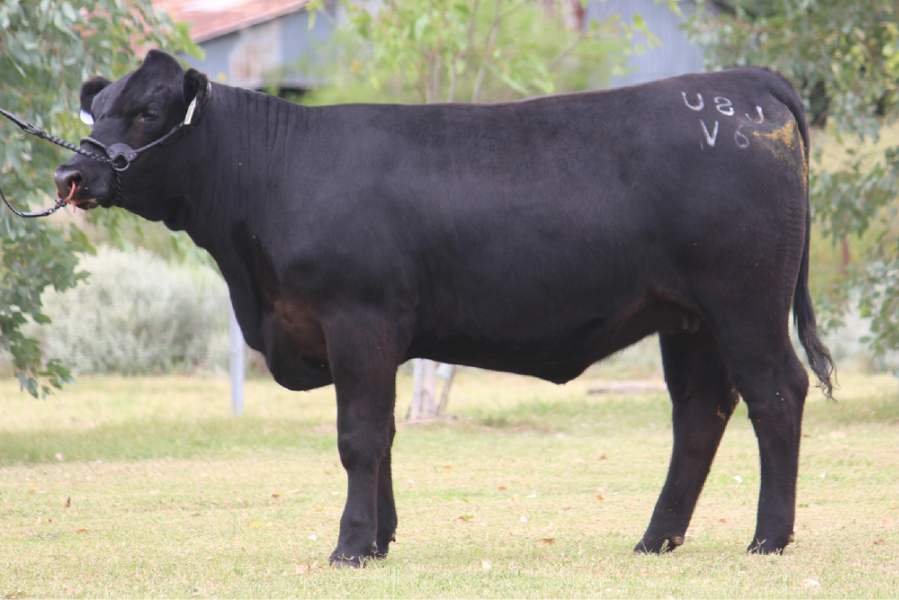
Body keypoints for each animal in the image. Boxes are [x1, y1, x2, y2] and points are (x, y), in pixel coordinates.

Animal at [55, 50, 834, 566]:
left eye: (147, 112)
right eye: (96, 108)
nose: (71, 172)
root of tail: (739, 83)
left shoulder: (357, 318)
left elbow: (359, 437)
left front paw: (349, 547)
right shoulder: (364, 336)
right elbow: (385, 434)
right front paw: (380, 540)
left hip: (744, 302)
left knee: (776, 394)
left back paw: (768, 538)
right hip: (687, 317)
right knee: (700, 410)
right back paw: (655, 540)